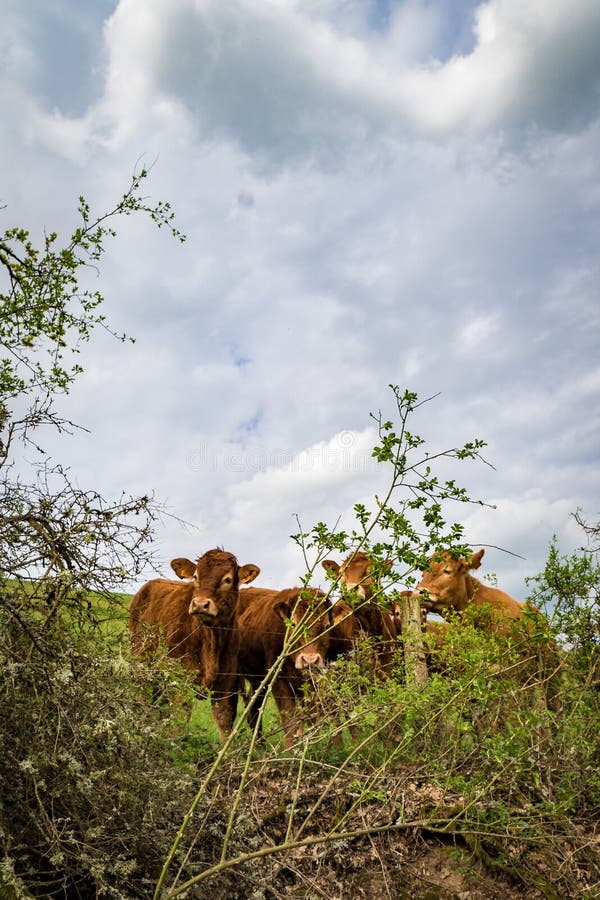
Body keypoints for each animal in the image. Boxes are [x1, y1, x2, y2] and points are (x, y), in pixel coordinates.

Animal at [129, 548, 260, 740]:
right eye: (196, 576)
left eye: (227, 579)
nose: (200, 604)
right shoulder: (179, 683)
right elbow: (178, 723)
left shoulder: (226, 687)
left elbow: (224, 724)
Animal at [236, 587, 332, 749]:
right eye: (293, 624)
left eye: (325, 626)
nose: (309, 660)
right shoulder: (279, 680)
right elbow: (289, 719)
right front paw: (289, 750)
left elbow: (311, 715)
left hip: (258, 681)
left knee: (253, 707)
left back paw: (260, 745)